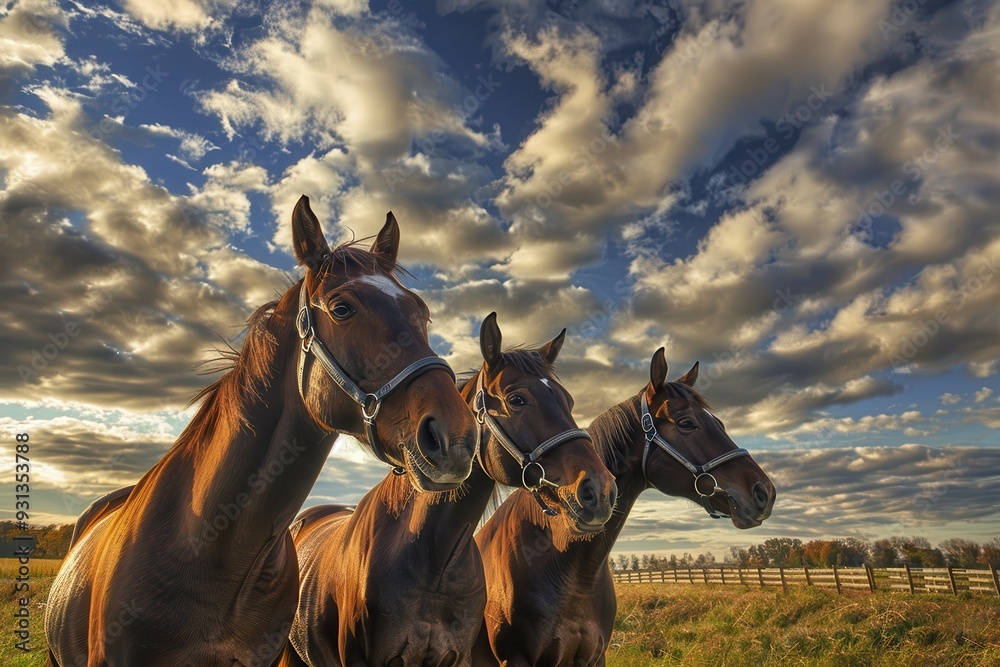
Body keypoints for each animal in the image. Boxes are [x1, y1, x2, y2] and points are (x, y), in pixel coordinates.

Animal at [473, 347, 776, 667]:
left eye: (719, 423)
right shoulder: (515, 658)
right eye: (686, 423)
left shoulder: (595, 656)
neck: (565, 563)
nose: (763, 491)